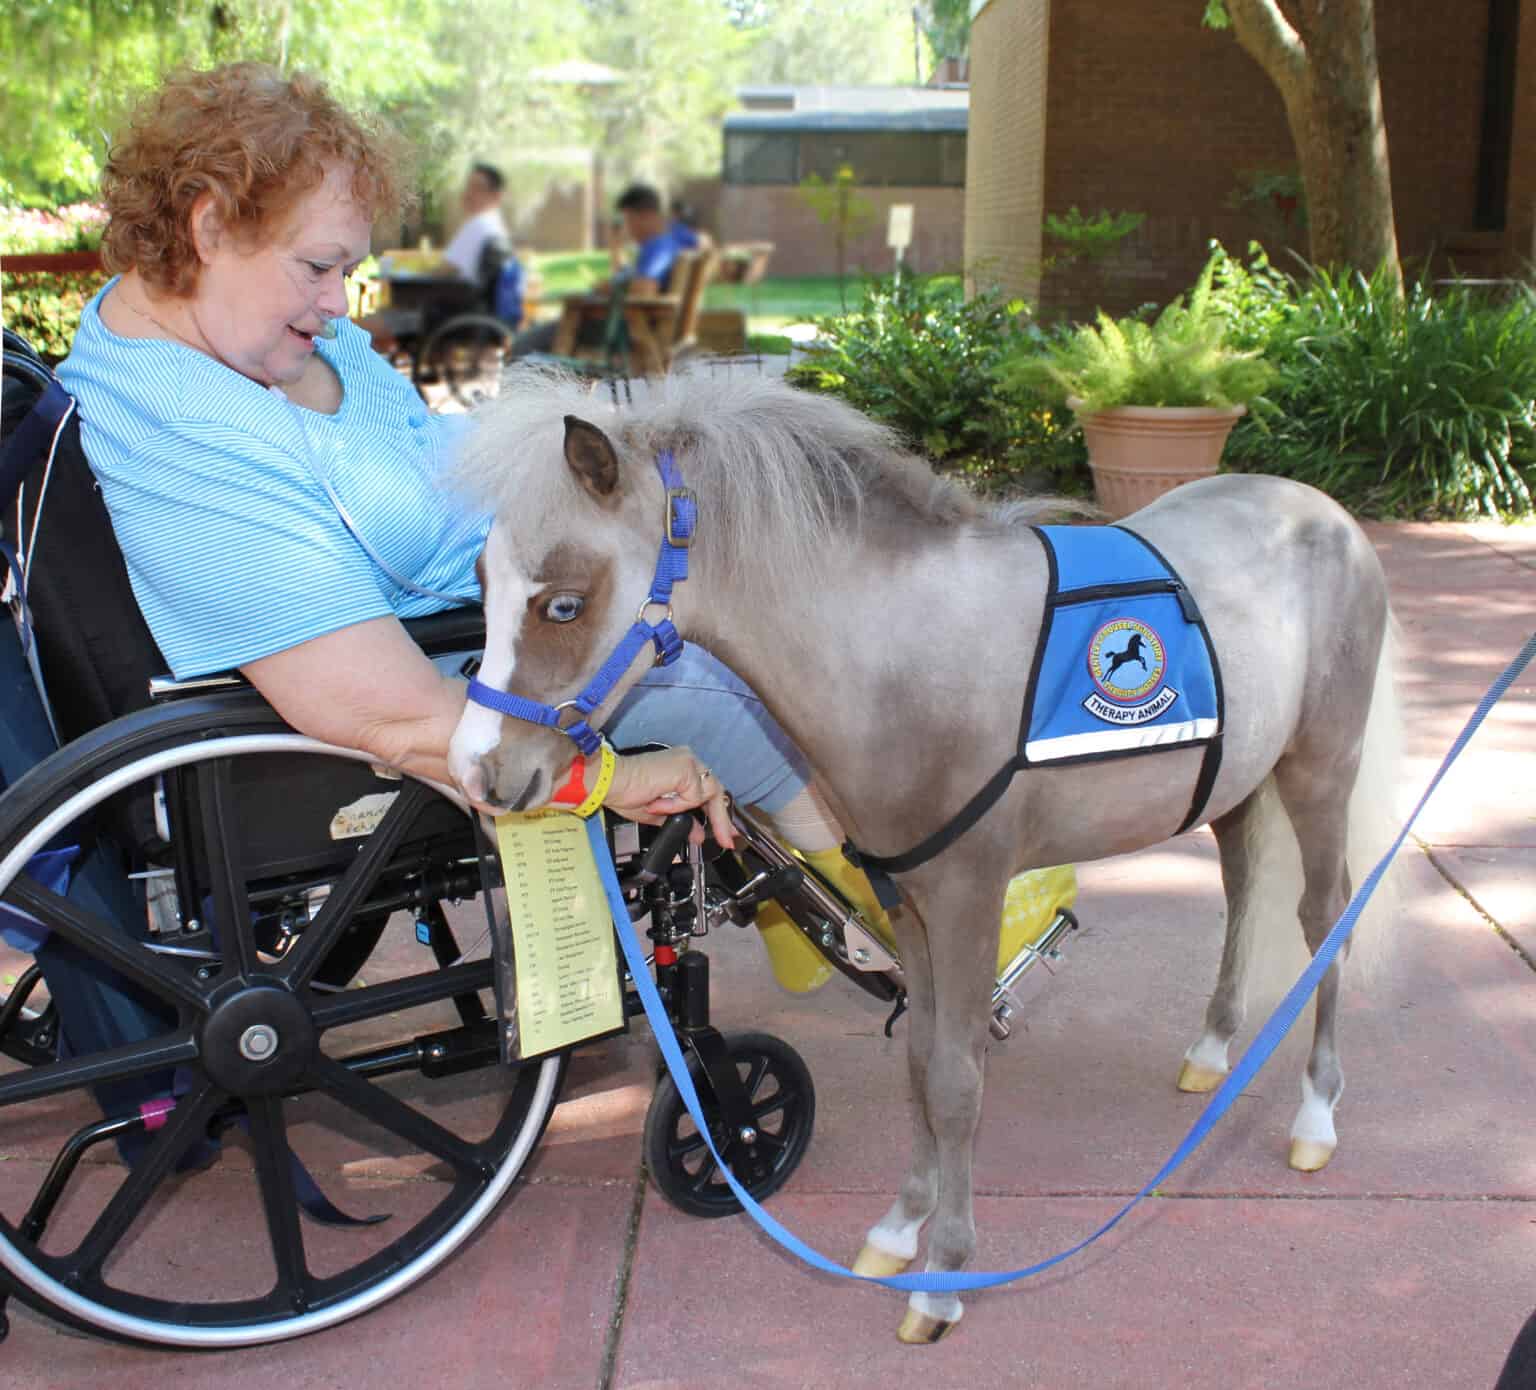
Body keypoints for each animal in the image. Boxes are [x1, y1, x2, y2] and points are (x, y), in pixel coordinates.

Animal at [446, 367, 1402, 1344]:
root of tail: (1323, 513)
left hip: (1321, 768)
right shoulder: (906, 900)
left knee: (1325, 914)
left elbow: (955, 1081)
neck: (899, 657)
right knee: (1243, 887)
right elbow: (917, 1065)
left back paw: (1316, 1116)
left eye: (564, 601)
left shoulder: (968, 895)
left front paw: (942, 1278)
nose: (478, 771)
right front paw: (899, 1230)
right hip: (1236, 784)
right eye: (482, 583)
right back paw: (1211, 1051)